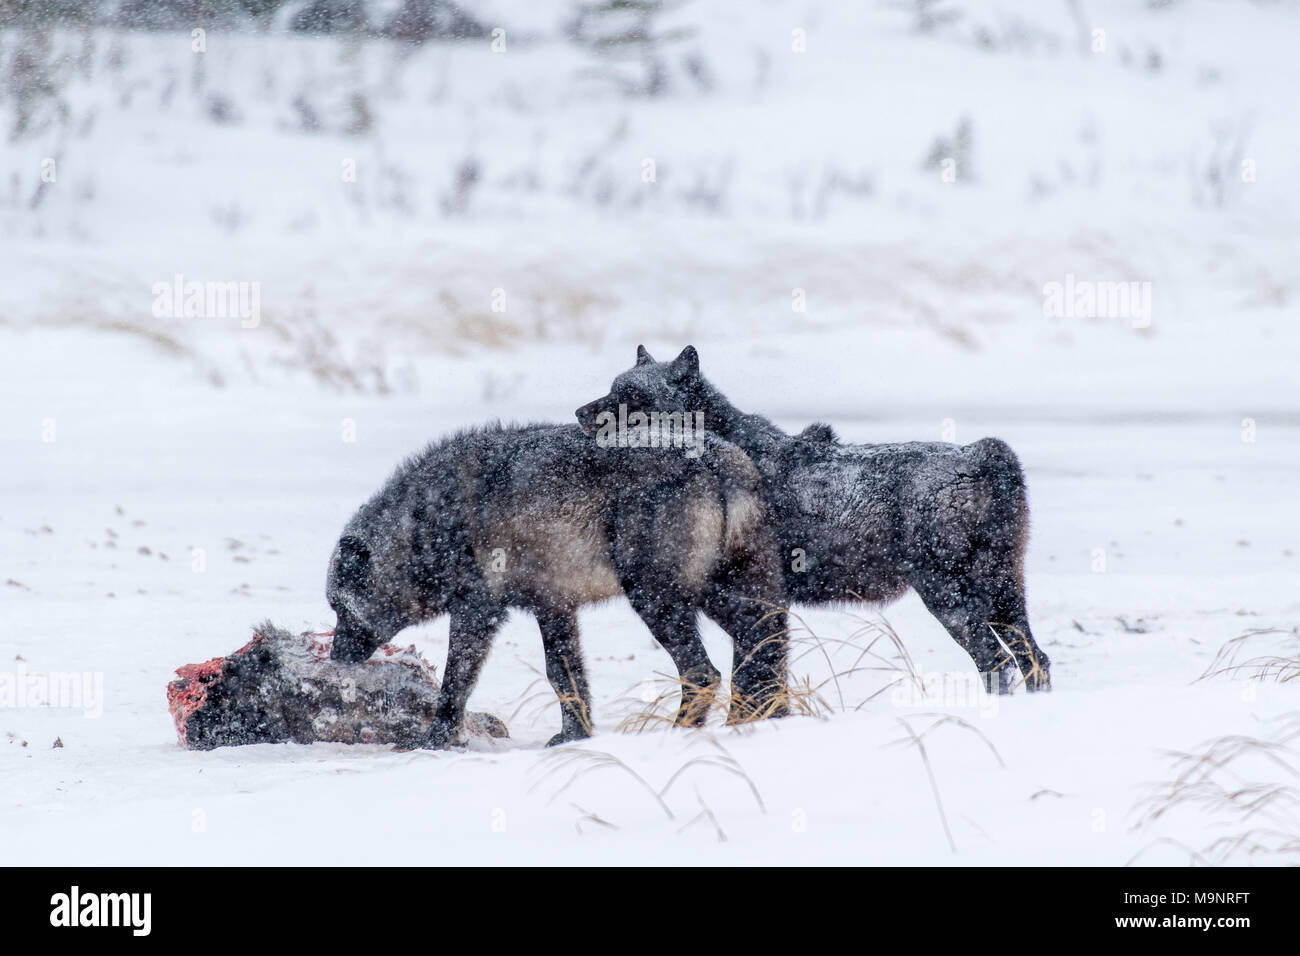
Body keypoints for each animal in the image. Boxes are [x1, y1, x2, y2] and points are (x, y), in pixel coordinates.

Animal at [327, 422, 788, 748]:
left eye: (339, 608)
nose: (335, 658)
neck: (426, 524)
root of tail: (721, 460)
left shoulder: (477, 611)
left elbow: (455, 682)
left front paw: (435, 740)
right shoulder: (554, 608)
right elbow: (565, 677)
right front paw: (574, 738)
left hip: (659, 598)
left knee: (704, 671)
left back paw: (676, 733)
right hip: (717, 593)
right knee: (766, 640)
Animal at [576, 347, 1052, 694]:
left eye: (632, 398)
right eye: (612, 387)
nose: (580, 412)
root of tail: (981, 455)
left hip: (948, 594)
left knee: (996, 661)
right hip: (1002, 590)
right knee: (1034, 659)